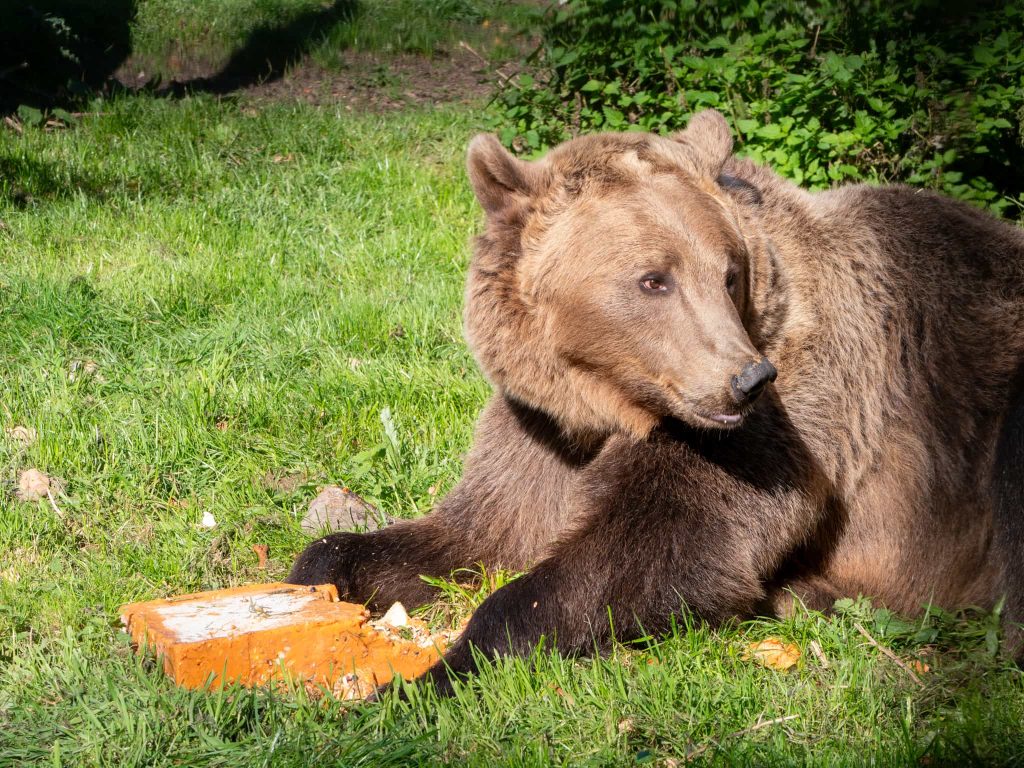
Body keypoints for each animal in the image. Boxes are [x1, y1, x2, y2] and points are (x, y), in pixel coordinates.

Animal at [288, 109, 1024, 694]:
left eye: (728, 273)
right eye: (653, 279)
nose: (746, 379)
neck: (609, 401)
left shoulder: (777, 432)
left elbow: (659, 548)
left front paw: (432, 677)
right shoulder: (542, 431)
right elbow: (476, 530)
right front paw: (316, 583)